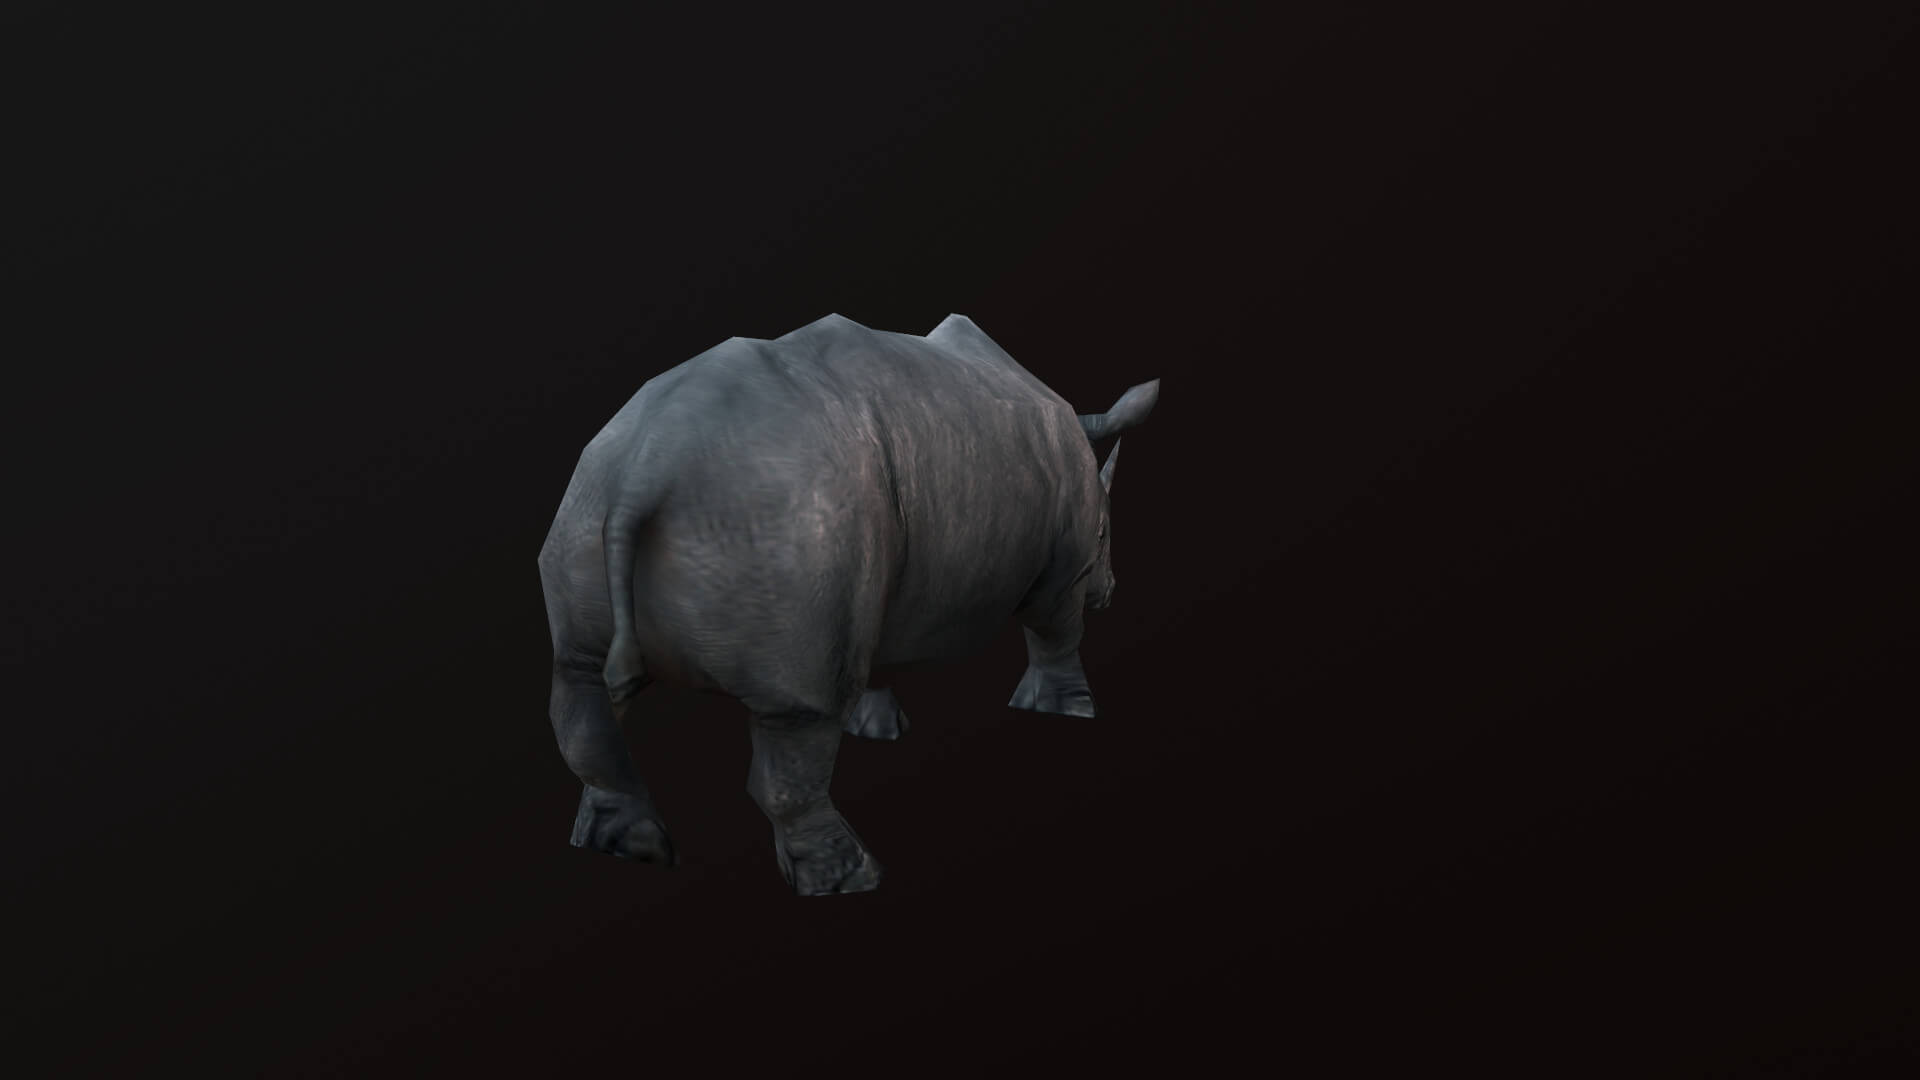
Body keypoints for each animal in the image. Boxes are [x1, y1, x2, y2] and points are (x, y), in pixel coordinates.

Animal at [537, 313, 1159, 895]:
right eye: (1106, 533)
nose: (1110, 593)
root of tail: (648, 462)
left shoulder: (883, 580)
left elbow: (873, 648)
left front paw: (878, 729)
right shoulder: (1067, 564)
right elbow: (1056, 631)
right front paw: (1069, 712)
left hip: (591, 501)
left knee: (580, 675)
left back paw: (627, 848)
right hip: (778, 513)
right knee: (797, 709)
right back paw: (850, 877)